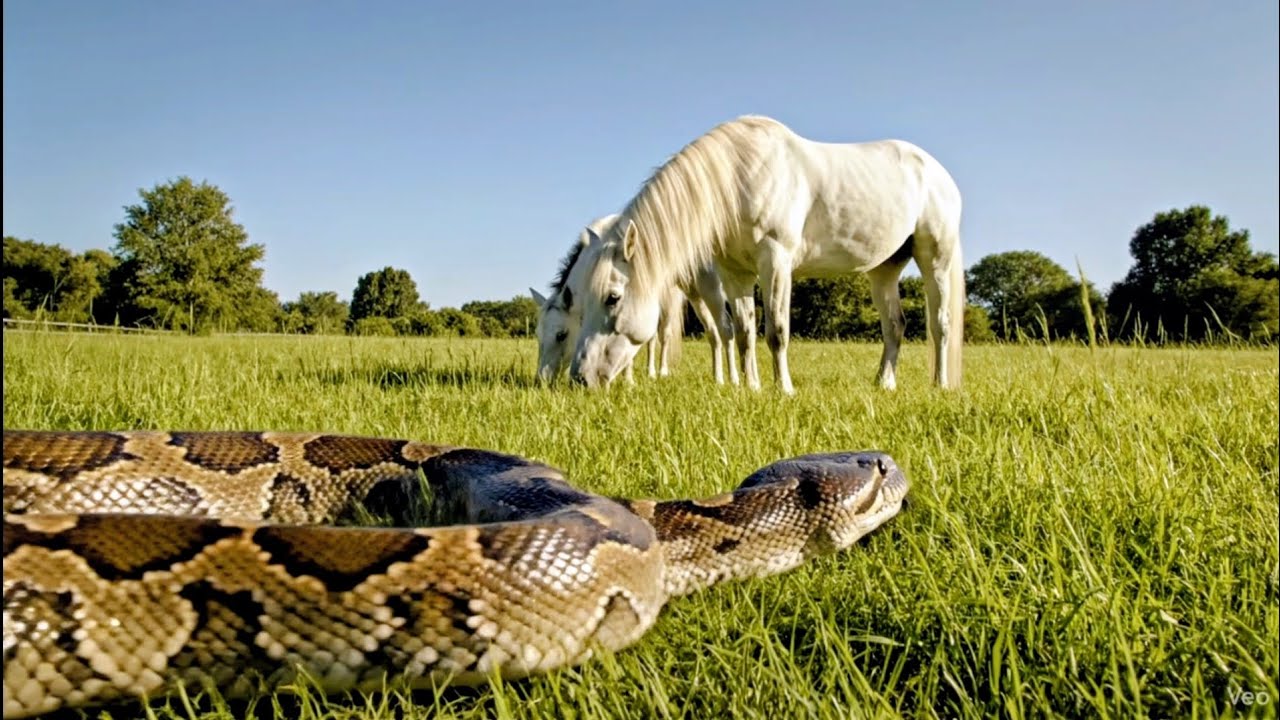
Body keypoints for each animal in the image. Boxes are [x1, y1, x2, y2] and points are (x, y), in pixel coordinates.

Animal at [532, 214, 738, 385]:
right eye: (538, 334)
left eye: (561, 335)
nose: (541, 380)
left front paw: (632, 380)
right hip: (694, 292)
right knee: (712, 332)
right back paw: (717, 377)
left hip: (704, 285)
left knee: (718, 328)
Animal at [569, 115, 965, 394]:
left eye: (613, 297)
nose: (579, 378)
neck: (737, 178)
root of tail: (940, 174)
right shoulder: (735, 273)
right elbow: (745, 332)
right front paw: (751, 387)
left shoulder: (775, 261)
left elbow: (776, 329)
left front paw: (783, 389)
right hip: (883, 269)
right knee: (895, 325)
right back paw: (884, 383)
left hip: (935, 258)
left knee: (940, 324)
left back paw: (940, 385)